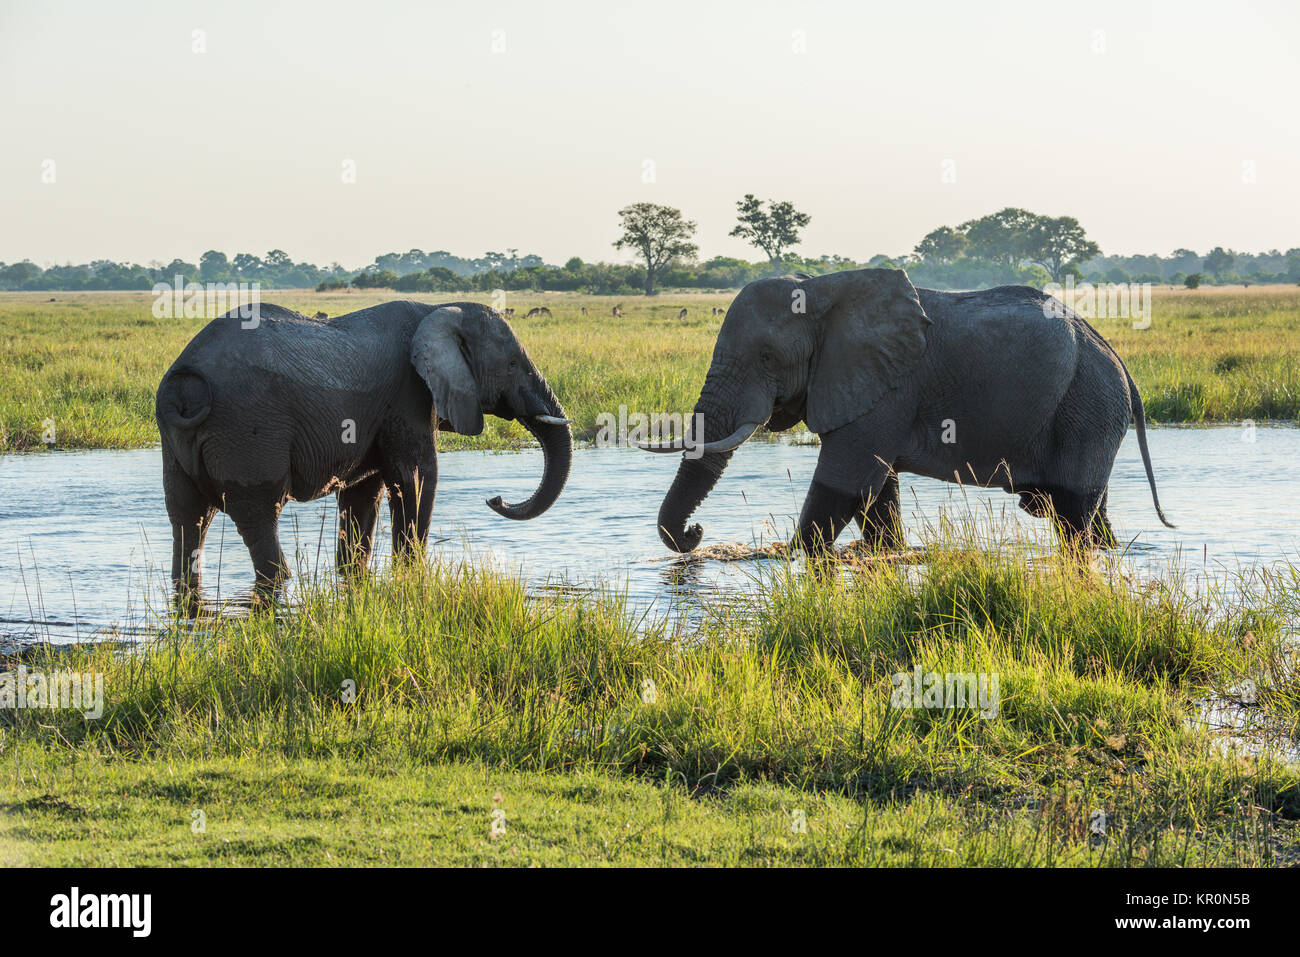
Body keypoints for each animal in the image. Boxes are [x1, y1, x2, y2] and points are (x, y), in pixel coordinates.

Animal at [156, 300, 572, 593]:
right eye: (513, 364)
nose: (495, 498)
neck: (438, 309)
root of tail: (185, 377)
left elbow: (363, 493)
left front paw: (353, 576)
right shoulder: (408, 395)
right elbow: (417, 478)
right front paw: (411, 574)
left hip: (179, 441)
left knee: (187, 515)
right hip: (247, 429)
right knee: (259, 513)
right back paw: (280, 581)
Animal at [639, 268, 1173, 553]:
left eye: (767, 358)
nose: (696, 534)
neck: (821, 288)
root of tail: (1121, 363)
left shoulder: (890, 385)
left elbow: (845, 482)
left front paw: (797, 558)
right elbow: (877, 492)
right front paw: (888, 554)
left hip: (1089, 406)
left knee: (1074, 513)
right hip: (1089, 408)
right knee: (1089, 513)